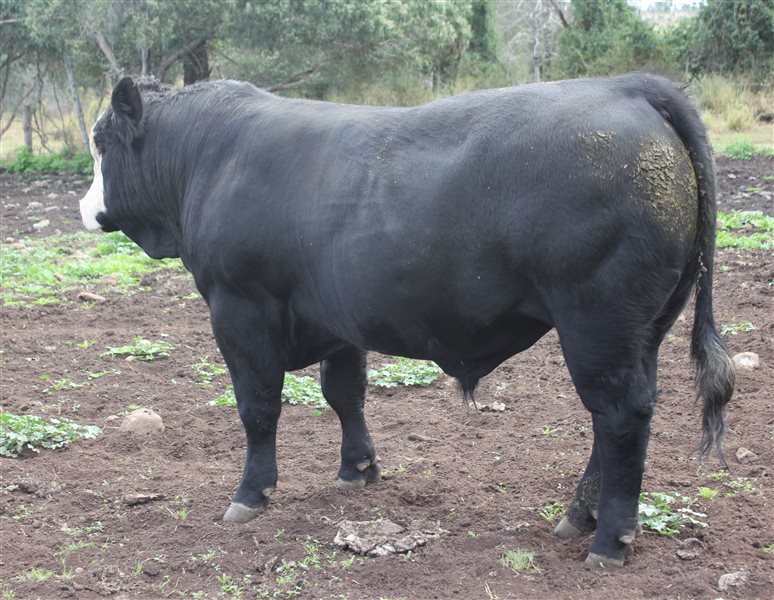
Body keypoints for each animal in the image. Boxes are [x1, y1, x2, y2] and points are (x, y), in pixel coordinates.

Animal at [80, 73, 734, 568]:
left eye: (101, 141)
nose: (84, 208)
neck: (213, 158)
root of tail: (627, 85)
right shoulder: (337, 317)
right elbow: (345, 393)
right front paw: (358, 469)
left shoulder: (238, 307)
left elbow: (258, 406)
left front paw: (250, 493)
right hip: (642, 331)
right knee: (618, 417)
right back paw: (579, 515)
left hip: (597, 324)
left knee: (621, 417)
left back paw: (608, 540)